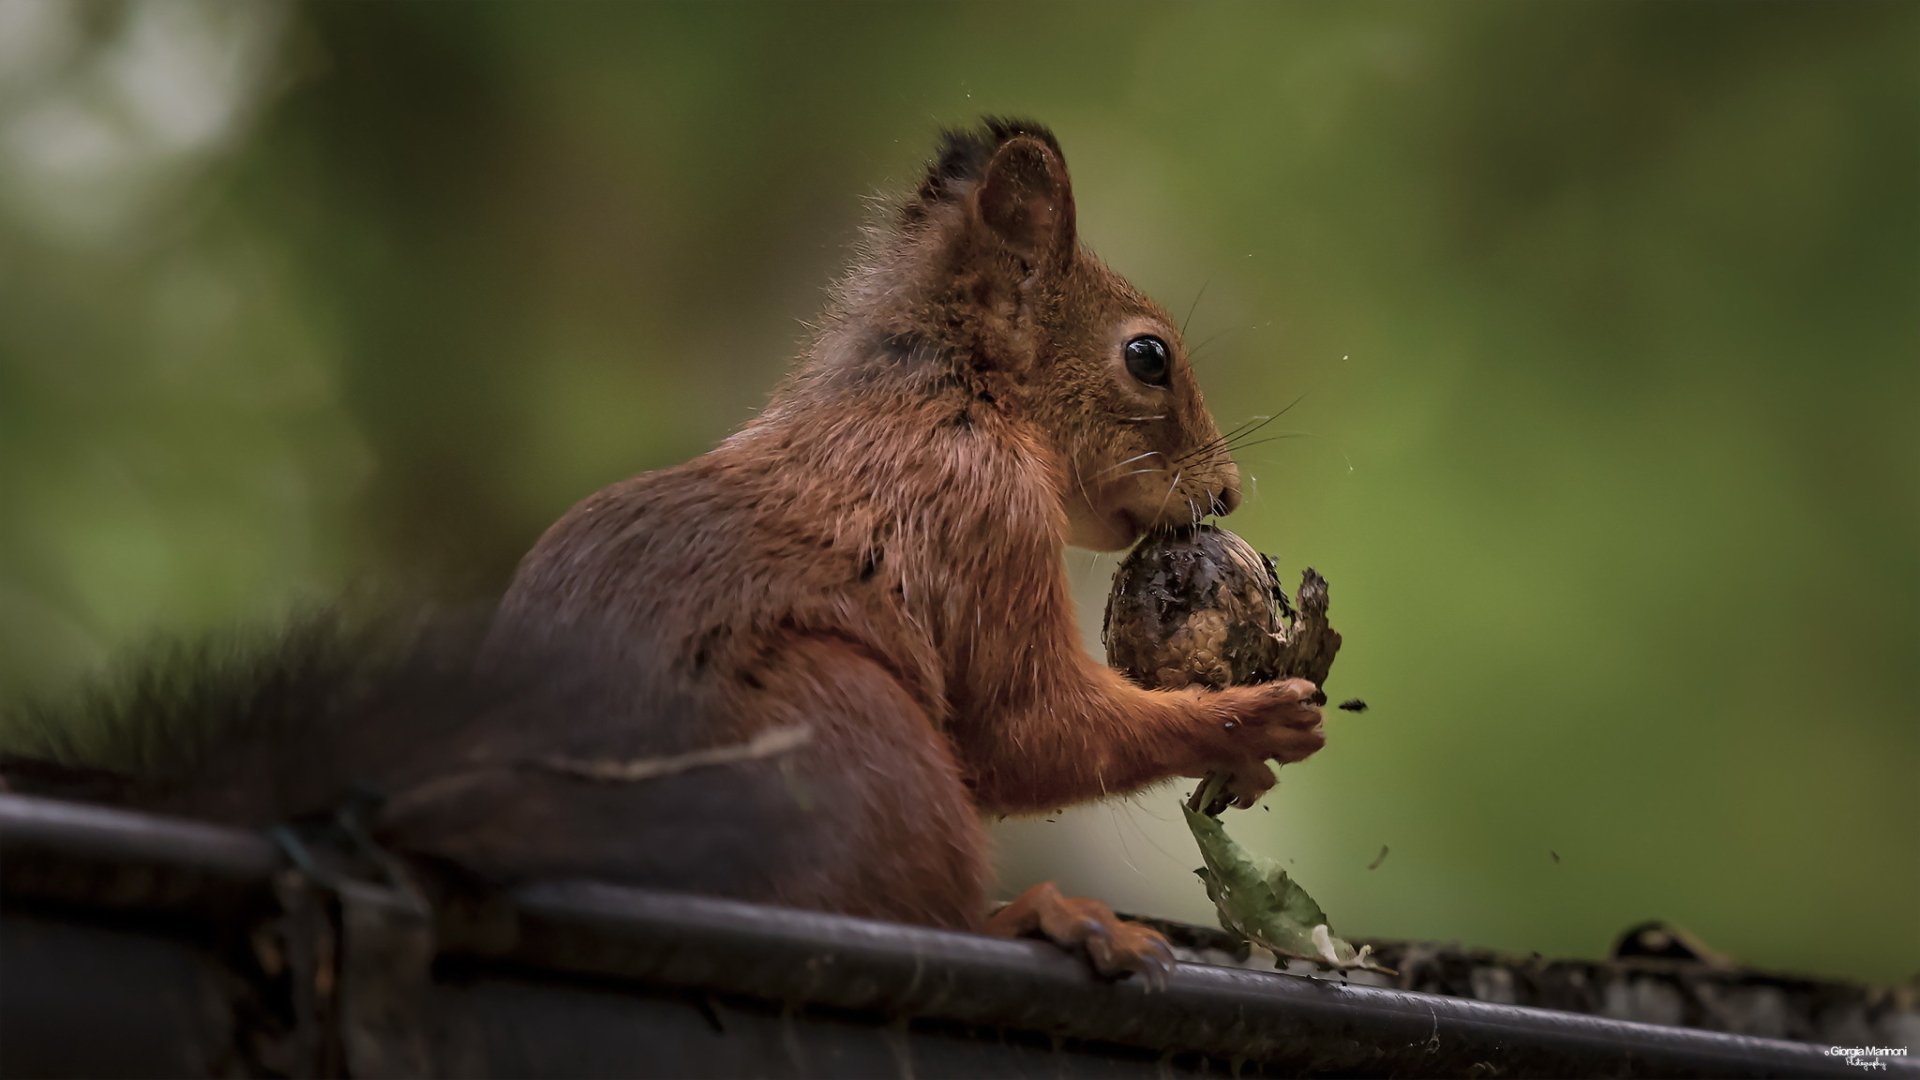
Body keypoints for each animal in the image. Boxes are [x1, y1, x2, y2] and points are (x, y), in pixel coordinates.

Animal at [1, 119, 1326, 981]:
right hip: (852, 727)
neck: (949, 397)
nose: (1227, 488)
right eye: (1147, 357)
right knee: (915, 905)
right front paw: (1253, 719)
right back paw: (1040, 920)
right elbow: (1024, 727)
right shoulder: (977, 514)